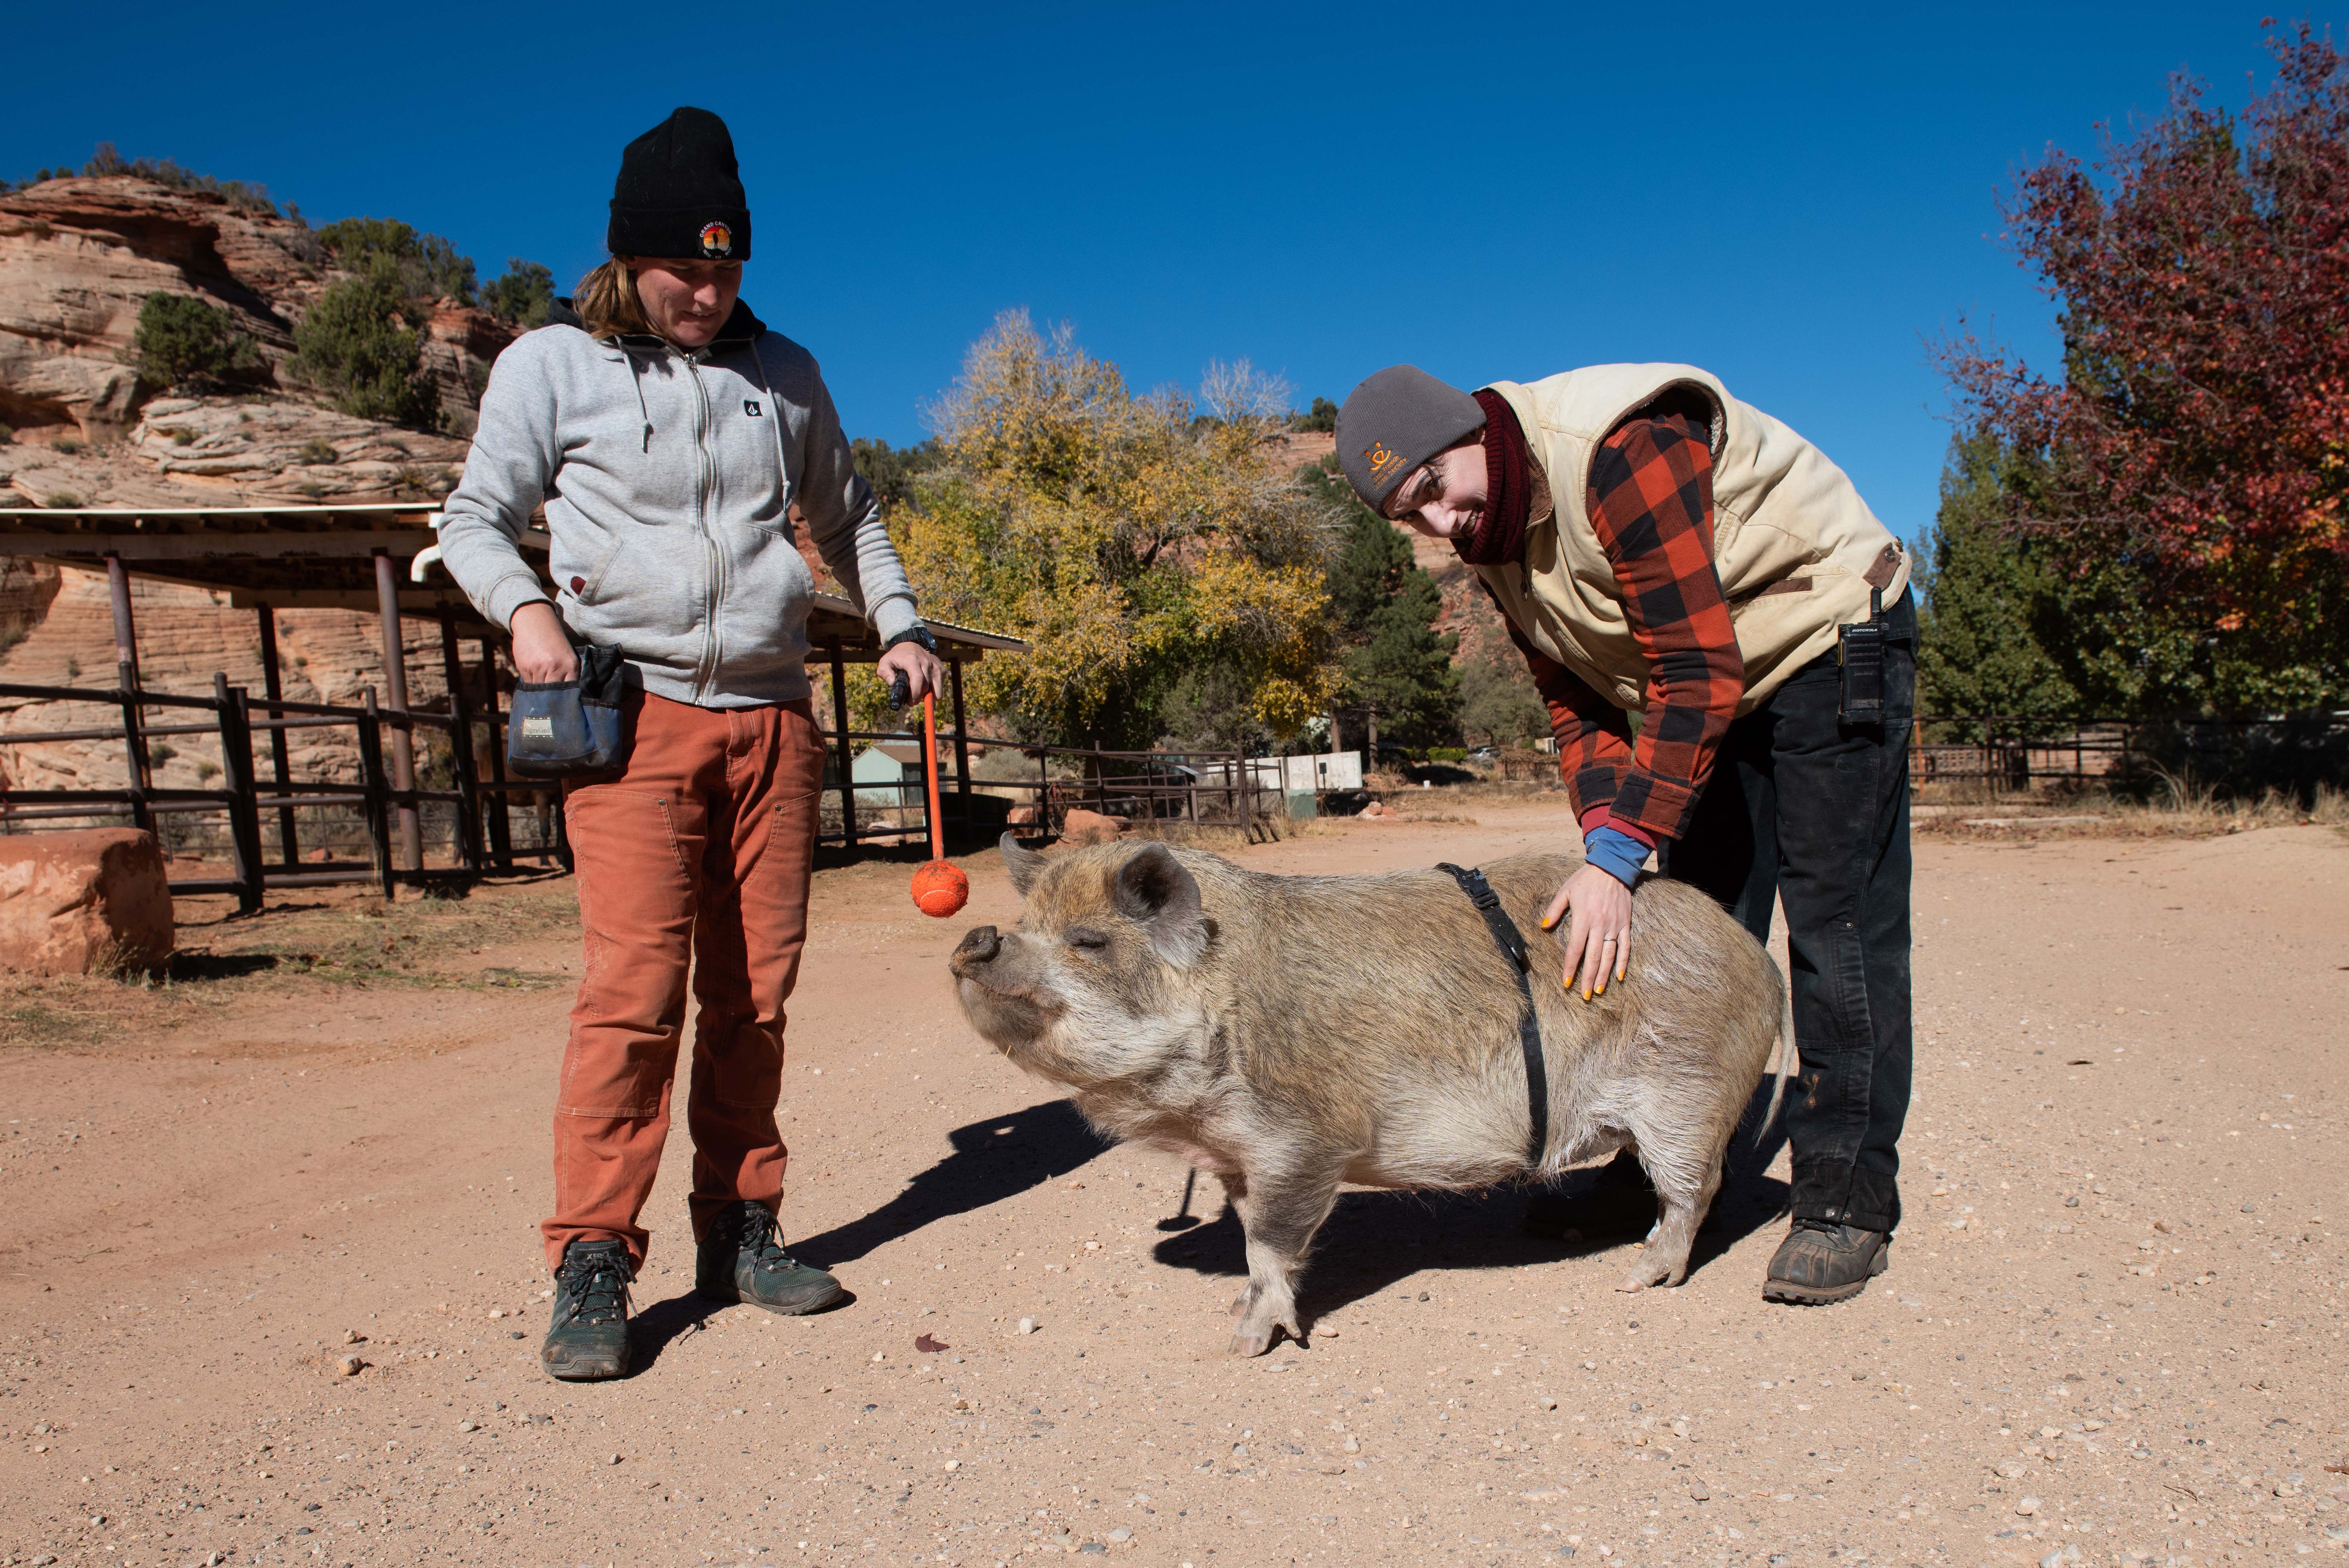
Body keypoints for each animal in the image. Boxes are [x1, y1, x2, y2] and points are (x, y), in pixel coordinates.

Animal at [948, 835, 1791, 1356]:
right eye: (1027, 921)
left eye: (1089, 941)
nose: (978, 936)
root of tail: (1760, 961)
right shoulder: (1236, 1155)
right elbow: (1247, 1231)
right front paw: (1233, 1313)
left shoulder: (1305, 1135)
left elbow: (1270, 1240)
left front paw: (1244, 1343)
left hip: (1687, 1093)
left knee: (1695, 1188)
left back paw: (1641, 1275)